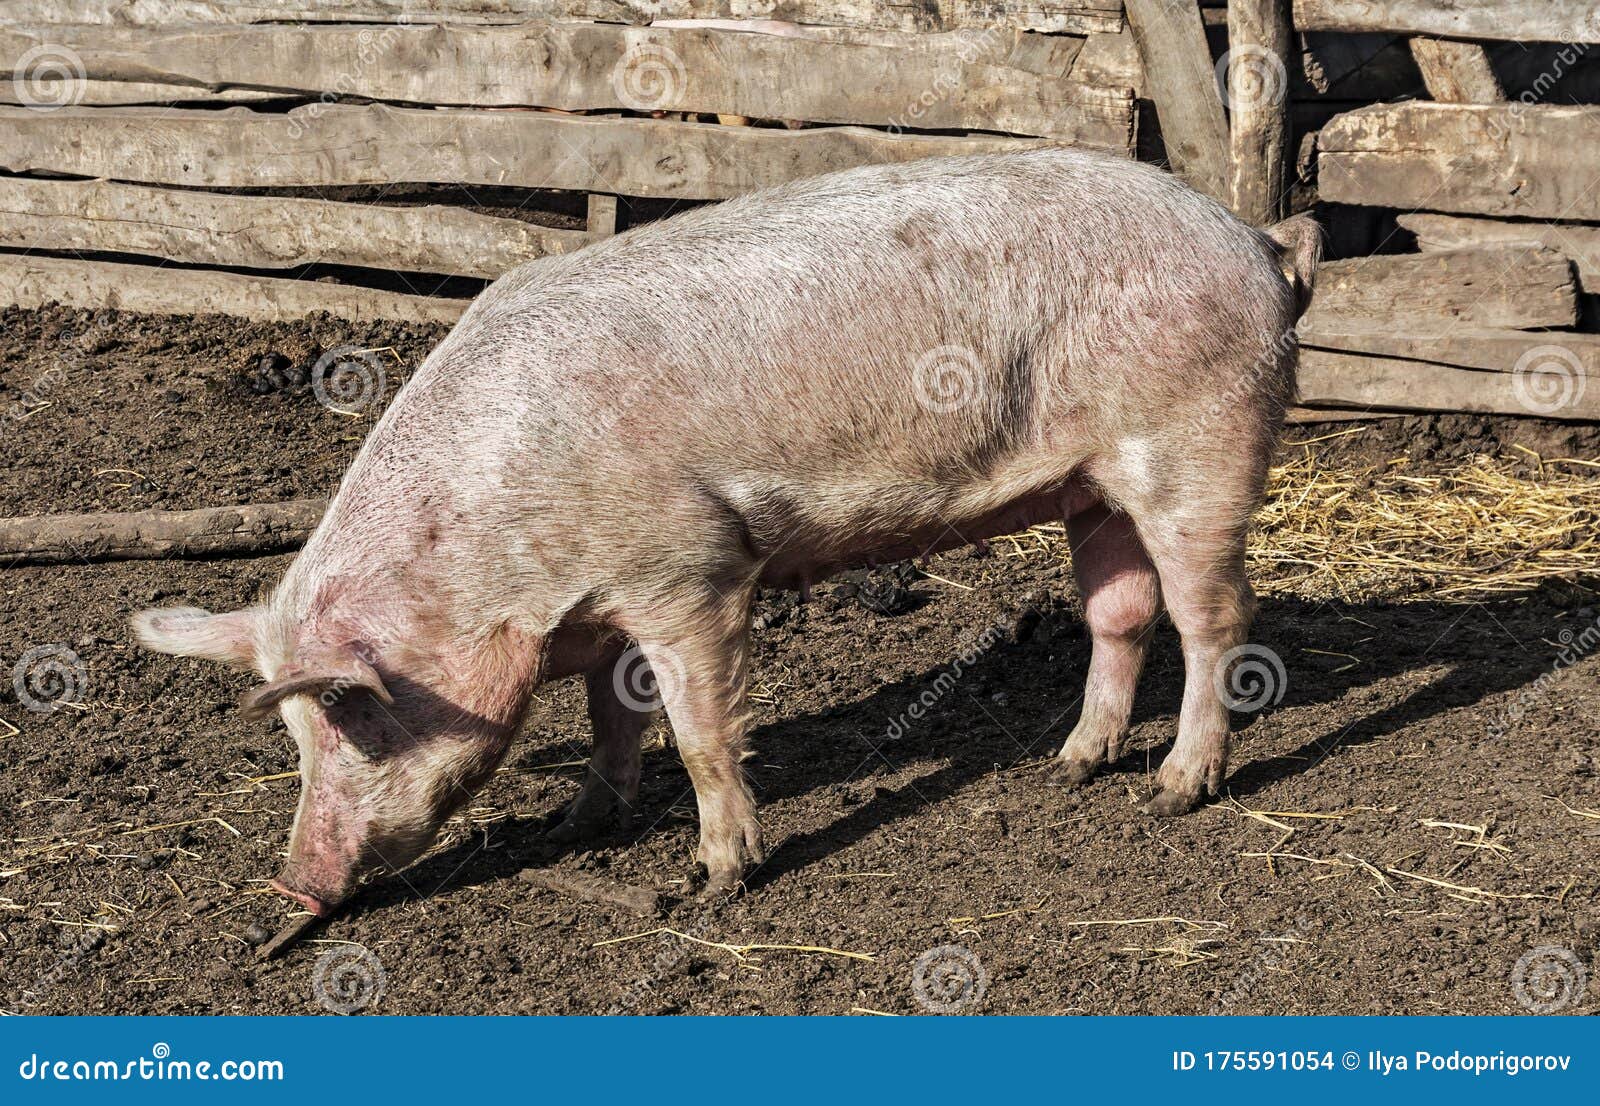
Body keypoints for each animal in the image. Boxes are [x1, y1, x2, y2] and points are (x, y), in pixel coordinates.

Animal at [133, 147, 1321, 915]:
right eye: (297, 738)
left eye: (351, 721)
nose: (293, 881)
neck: (493, 554)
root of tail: (1260, 243)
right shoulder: (598, 605)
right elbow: (610, 715)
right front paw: (582, 822)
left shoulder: (689, 571)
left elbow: (700, 731)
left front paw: (714, 879)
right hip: (1092, 485)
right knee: (1119, 612)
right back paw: (1073, 766)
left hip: (1199, 445)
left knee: (1216, 616)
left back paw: (1178, 789)